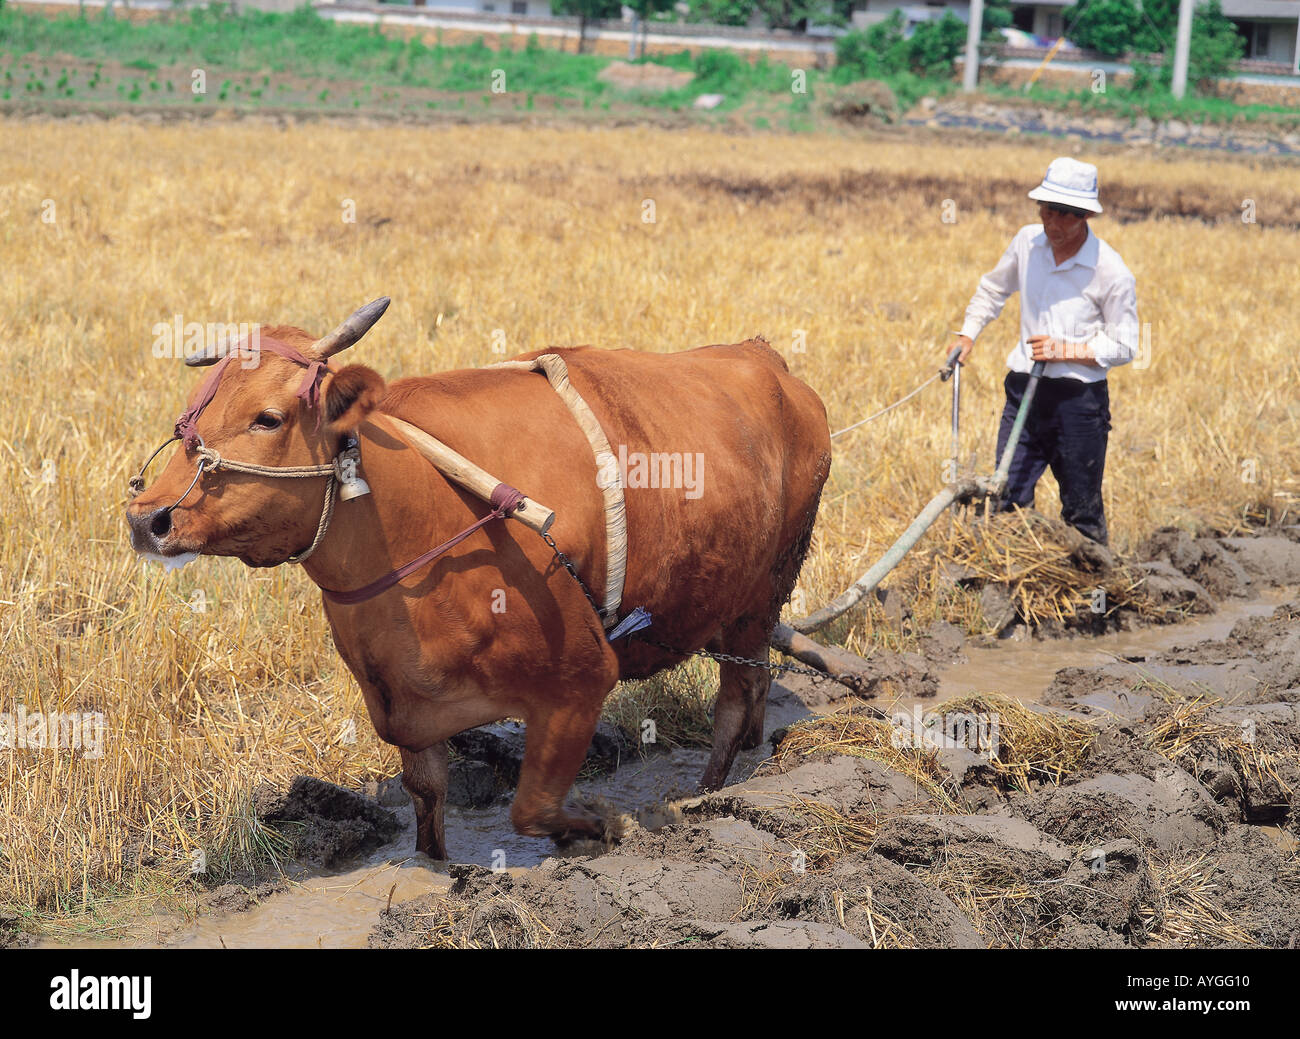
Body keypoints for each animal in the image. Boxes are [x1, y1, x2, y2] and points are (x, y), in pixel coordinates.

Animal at [127, 302, 831, 859]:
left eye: (268, 418)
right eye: (189, 416)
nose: (147, 517)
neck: (416, 516)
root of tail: (762, 356)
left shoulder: (579, 682)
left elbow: (532, 810)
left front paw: (607, 826)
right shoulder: (404, 711)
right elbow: (428, 808)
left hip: (760, 598)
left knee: (738, 695)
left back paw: (707, 796)